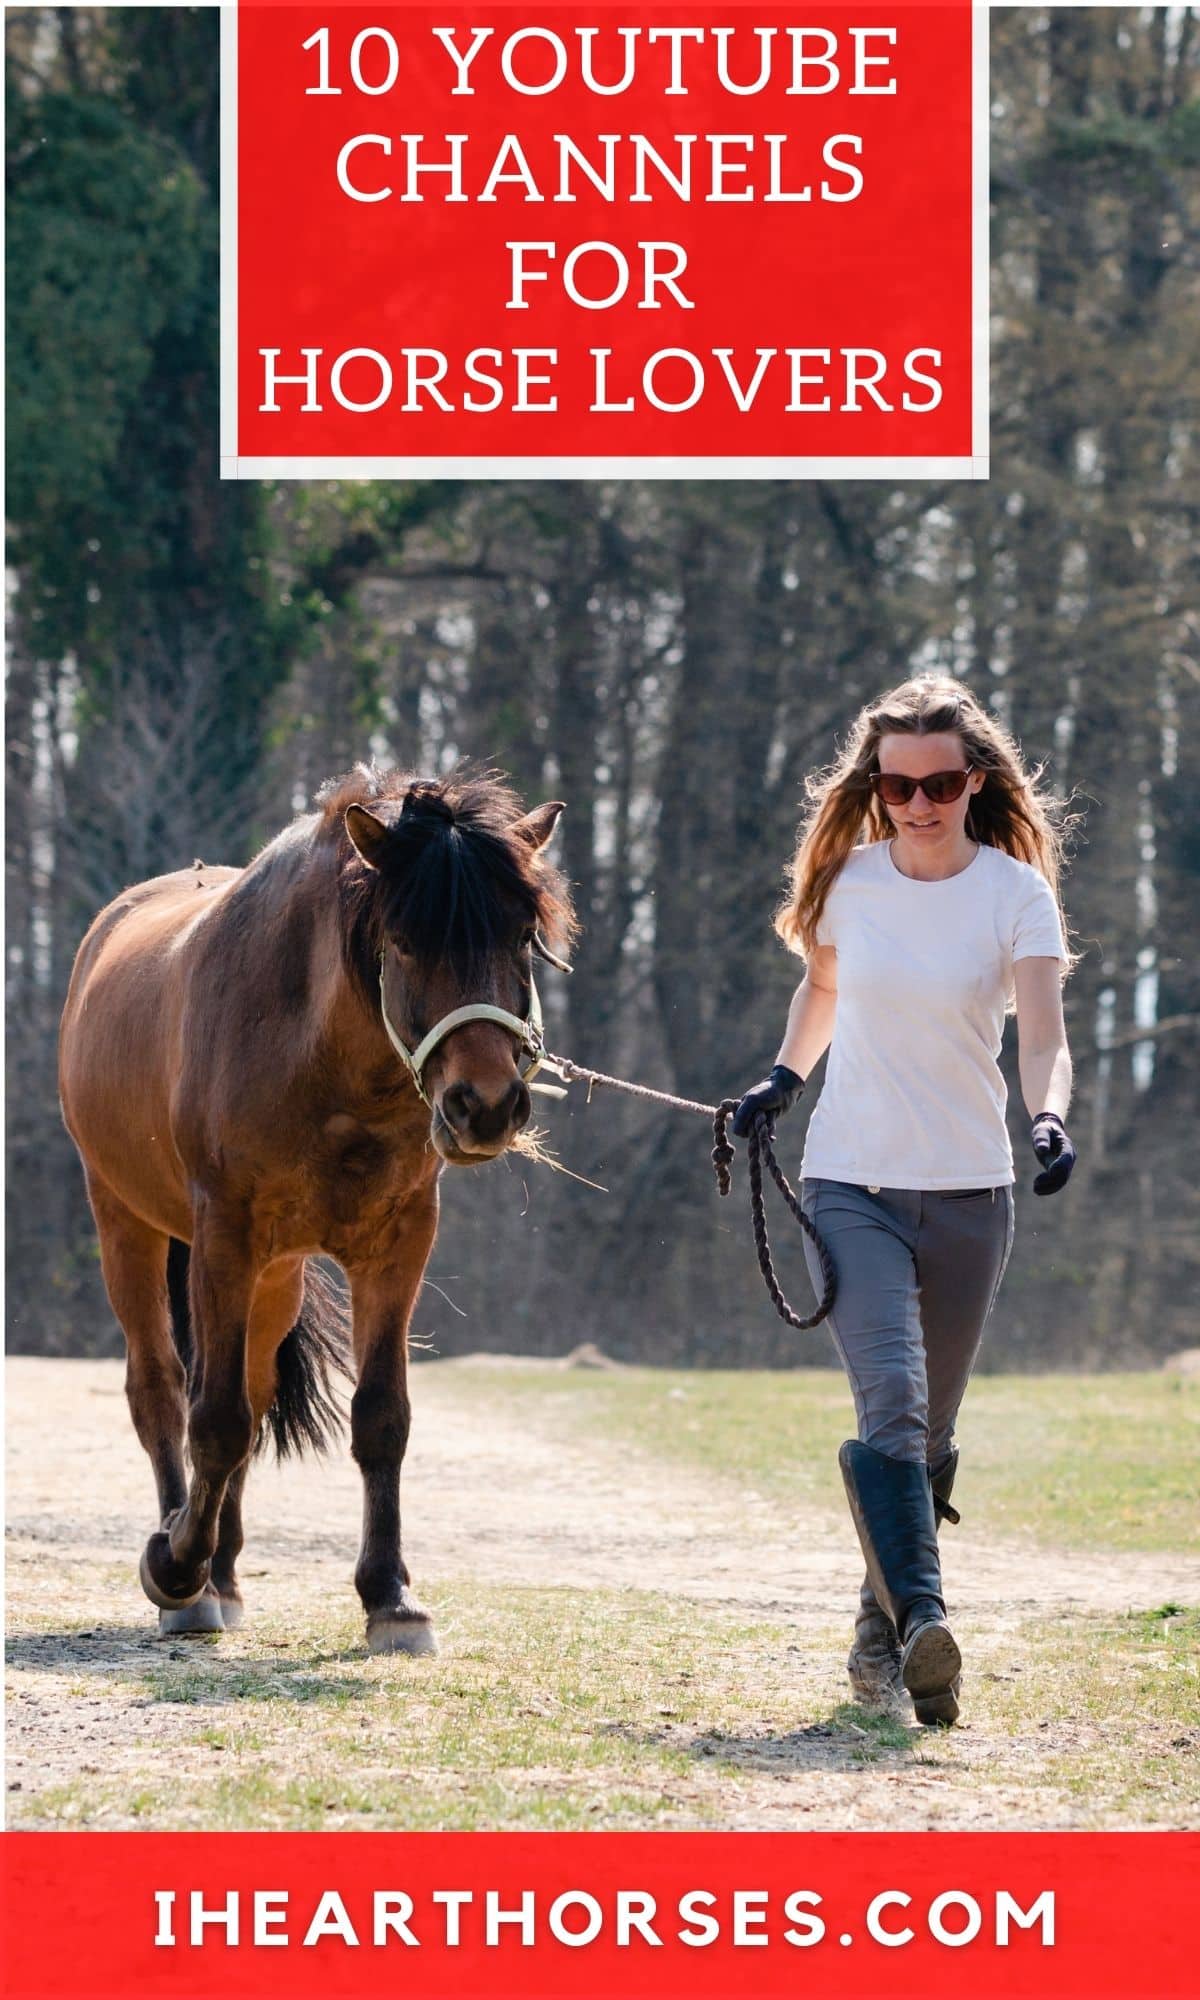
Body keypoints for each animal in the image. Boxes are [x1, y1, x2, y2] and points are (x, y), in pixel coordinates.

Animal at [58, 767, 574, 1653]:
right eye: (405, 940)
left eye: (518, 936)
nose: (485, 1106)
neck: (320, 1058)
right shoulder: (225, 1235)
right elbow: (213, 1418)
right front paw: (172, 1566)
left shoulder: (398, 1244)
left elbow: (379, 1417)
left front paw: (390, 1596)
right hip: (127, 1222)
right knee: (161, 1389)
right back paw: (188, 1577)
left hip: (276, 1274)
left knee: (252, 1392)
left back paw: (223, 1573)